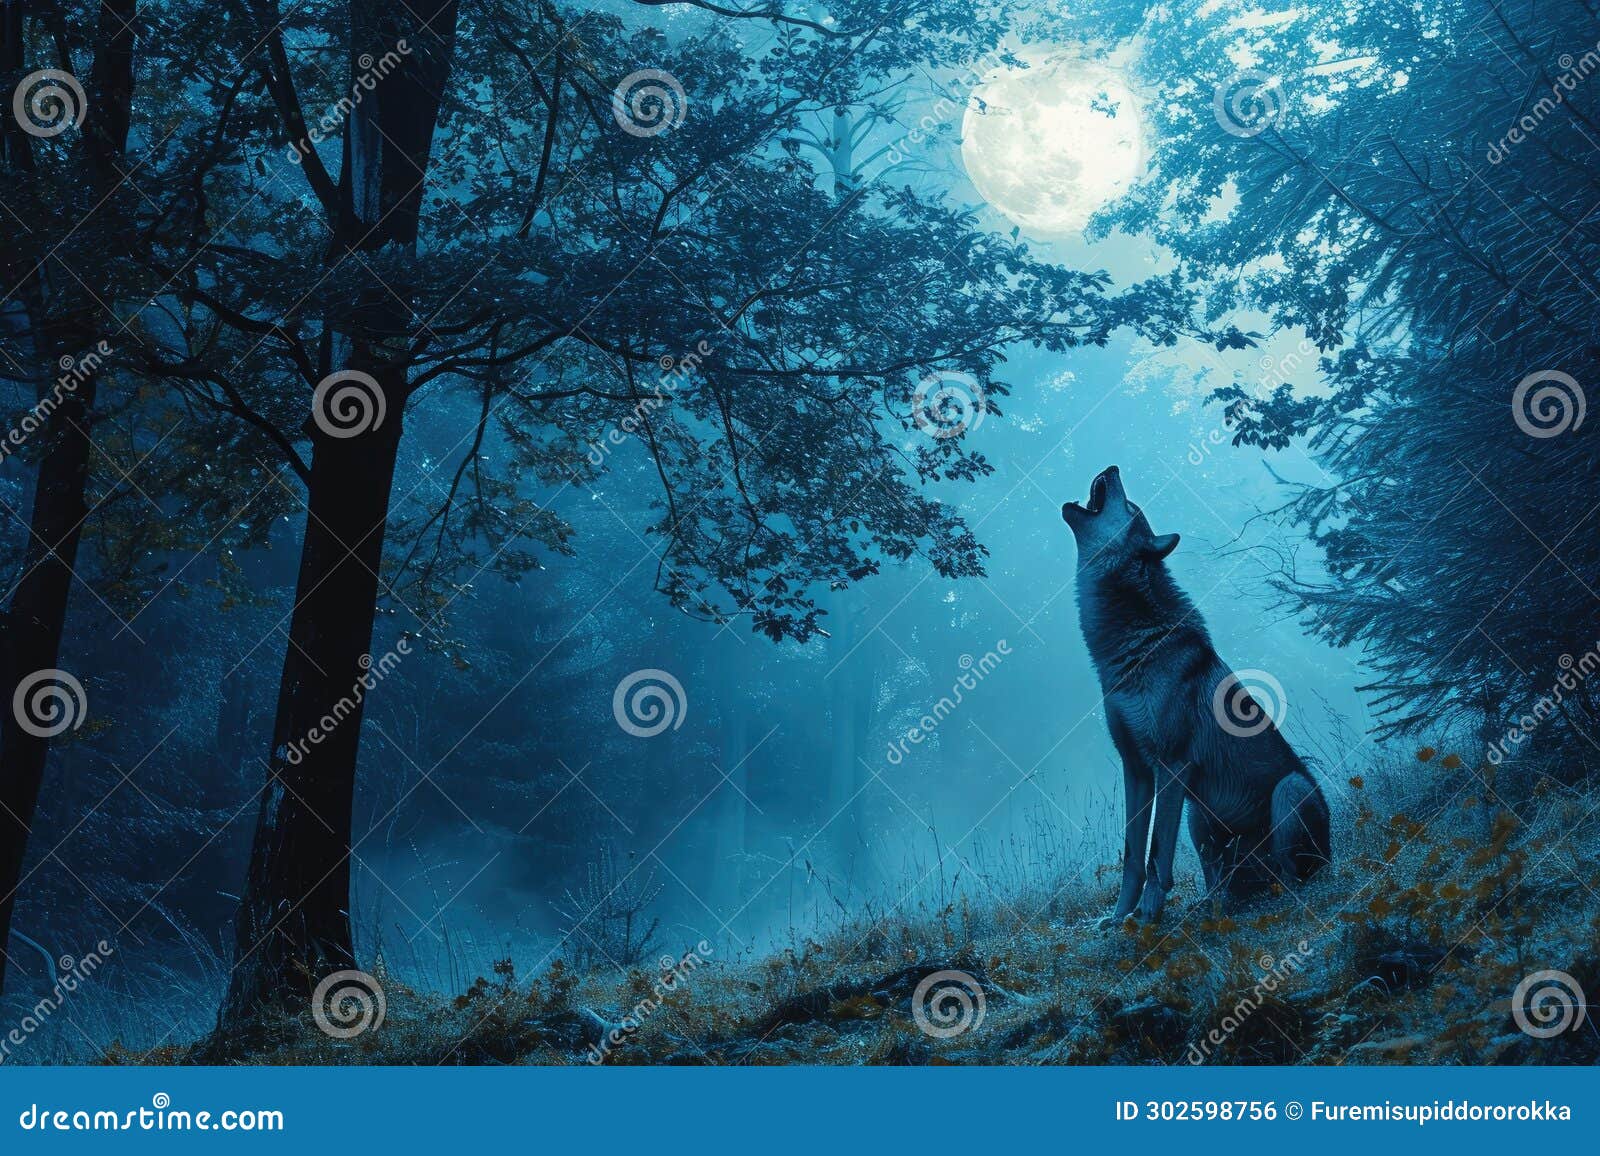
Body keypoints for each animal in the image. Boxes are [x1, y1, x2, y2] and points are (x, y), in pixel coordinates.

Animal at [1061, 465, 1331, 924]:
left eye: (1130, 506)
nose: (1113, 468)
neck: (1133, 649)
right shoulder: (1136, 768)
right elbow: (1132, 856)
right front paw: (1117, 918)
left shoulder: (1171, 766)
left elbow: (1156, 855)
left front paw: (1147, 917)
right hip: (1199, 817)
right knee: (1222, 882)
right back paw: (1211, 906)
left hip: (1286, 791)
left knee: (1293, 878)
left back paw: (1275, 901)